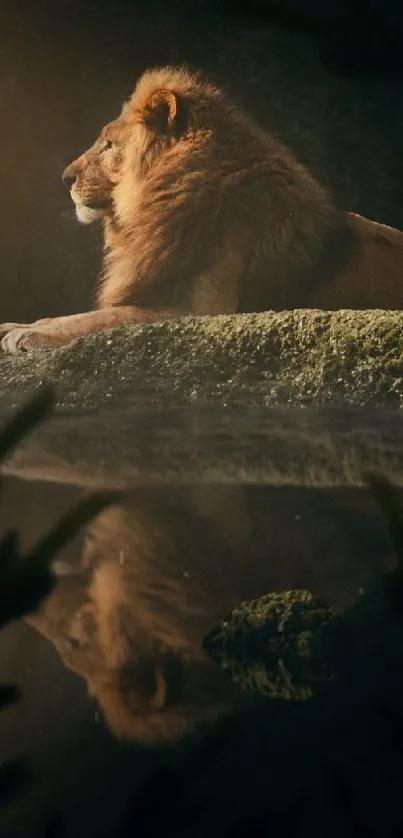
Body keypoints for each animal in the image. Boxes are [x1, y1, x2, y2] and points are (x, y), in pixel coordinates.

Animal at [2, 65, 403, 354]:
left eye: (109, 145)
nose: (64, 178)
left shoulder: (201, 311)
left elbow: (103, 318)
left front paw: (27, 334)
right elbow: (81, 313)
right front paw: (20, 325)